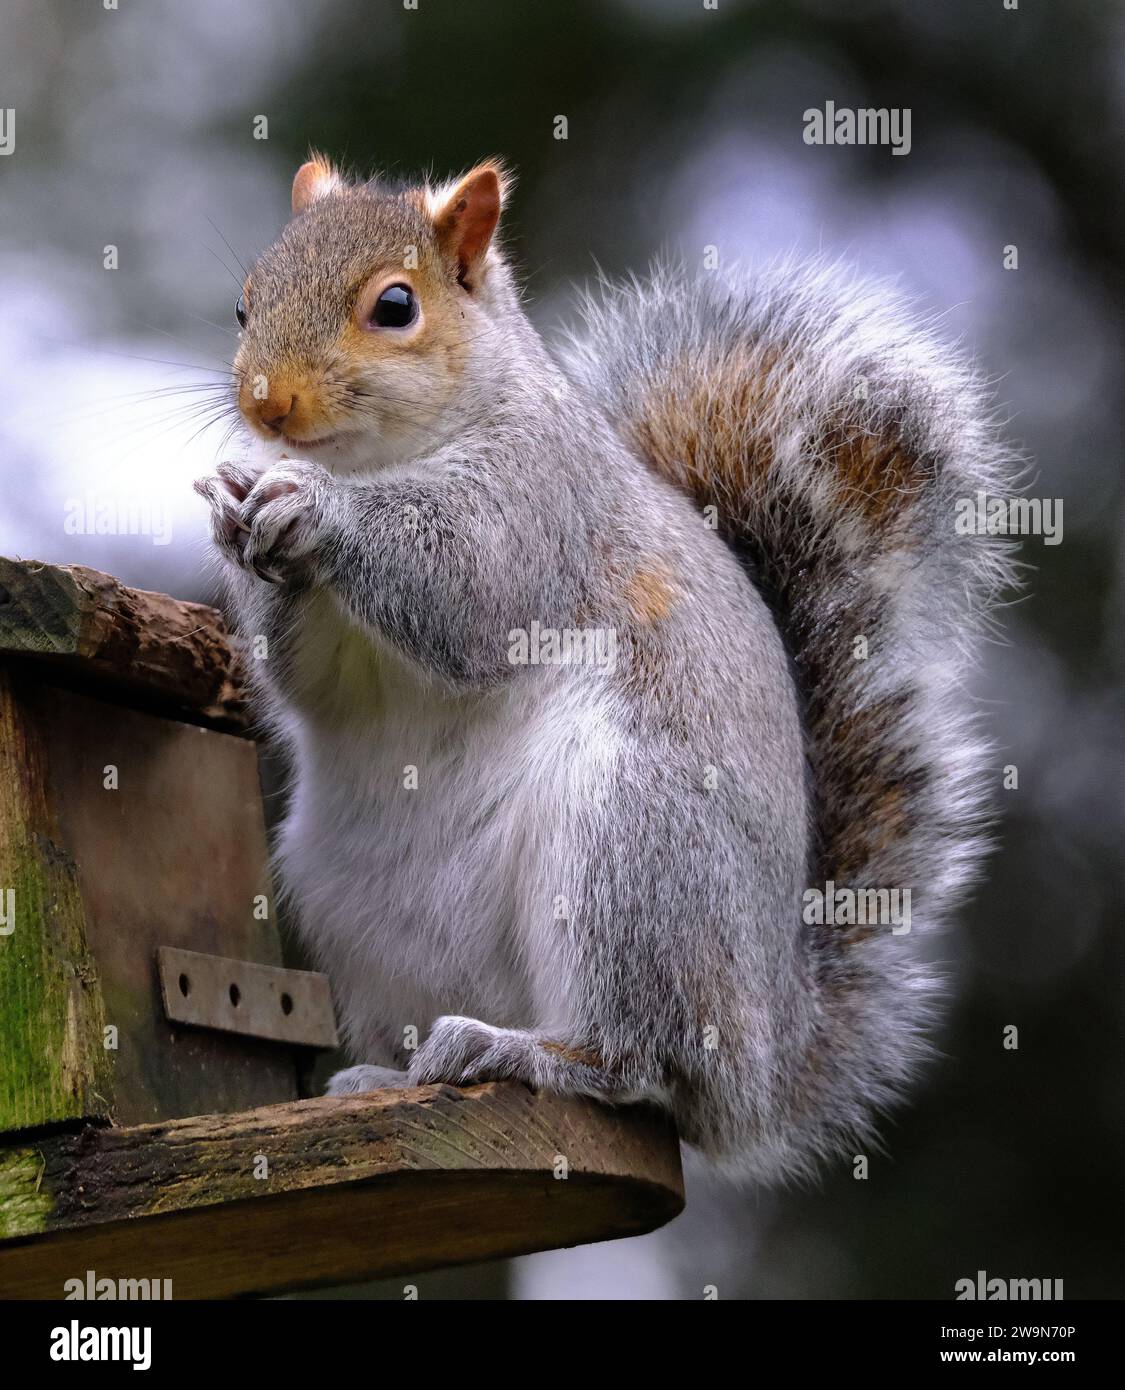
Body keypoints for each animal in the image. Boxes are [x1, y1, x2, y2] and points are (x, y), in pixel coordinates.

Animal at [195, 154, 1018, 1181]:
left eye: (394, 306)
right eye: (243, 304)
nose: (265, 405)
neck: (384, 457)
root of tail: (763, 1062)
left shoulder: (538, 500)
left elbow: (465, 585)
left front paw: (315, 506)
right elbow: (305, 678)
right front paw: (232, 503)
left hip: (629, 843)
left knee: (639, 1063)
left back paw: (522, 1051)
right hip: (350, 900)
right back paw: (395, 1074)